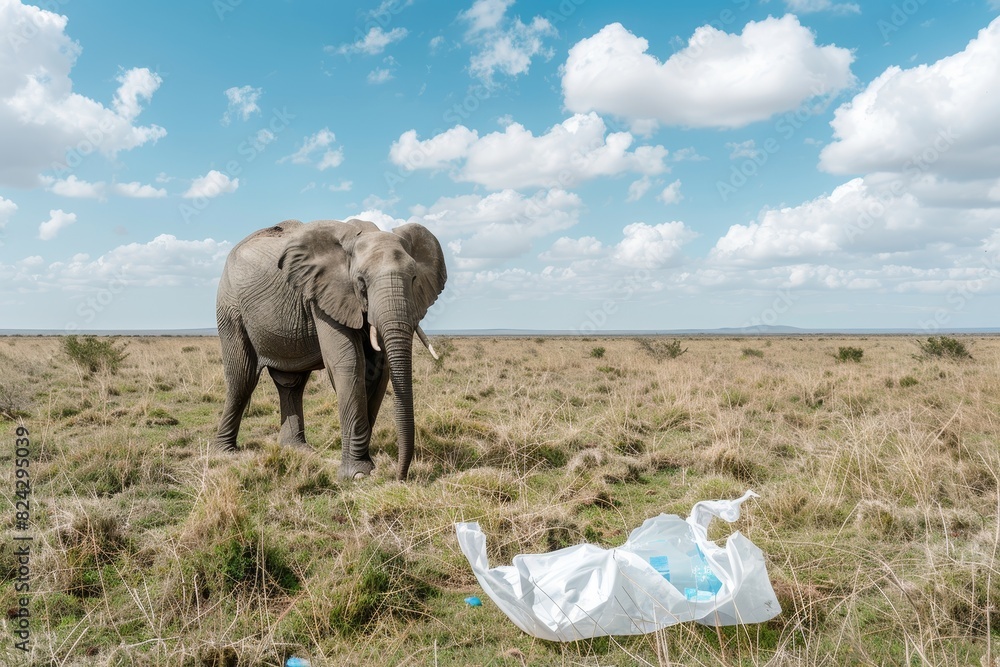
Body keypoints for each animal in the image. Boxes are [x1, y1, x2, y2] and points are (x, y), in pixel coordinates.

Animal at [214, 218, 447, 481]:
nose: (400, 477)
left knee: (291, 383)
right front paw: (357, 475)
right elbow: (348, 363)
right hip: (230, 306)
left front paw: (364, 466)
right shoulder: (324, 295)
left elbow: (378, 371)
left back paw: (297, 450)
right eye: (361, 282)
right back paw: (226, 453)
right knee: (241, 379)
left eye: (415, 278)